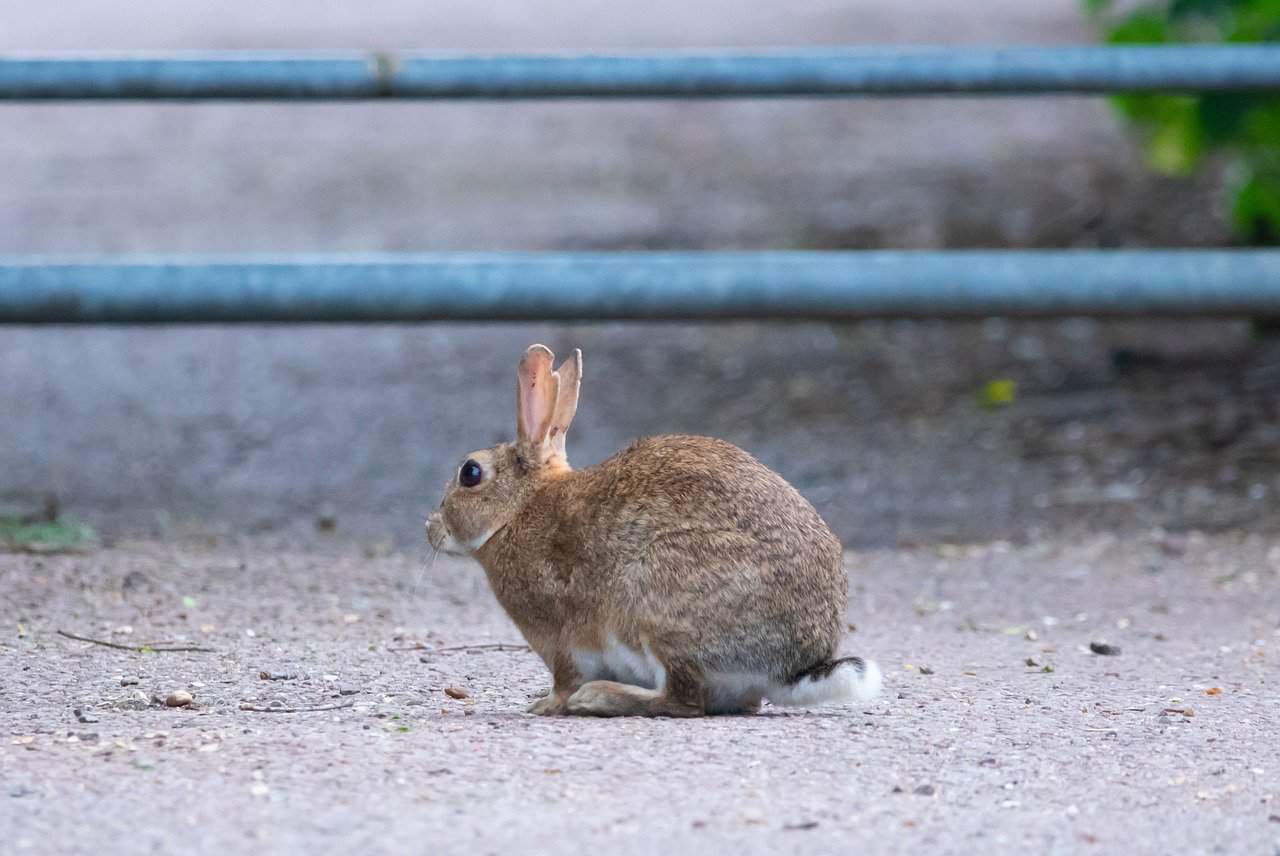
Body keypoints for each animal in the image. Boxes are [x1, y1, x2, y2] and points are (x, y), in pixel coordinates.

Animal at [426, 344, 880, 717]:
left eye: (470, 473)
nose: (431, 528)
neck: (519, 509)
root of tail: (791, 667)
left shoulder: (563, 640)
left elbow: (564, 677)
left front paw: (545, 705)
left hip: (659, 603)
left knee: (682, 699)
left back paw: (598, 698)